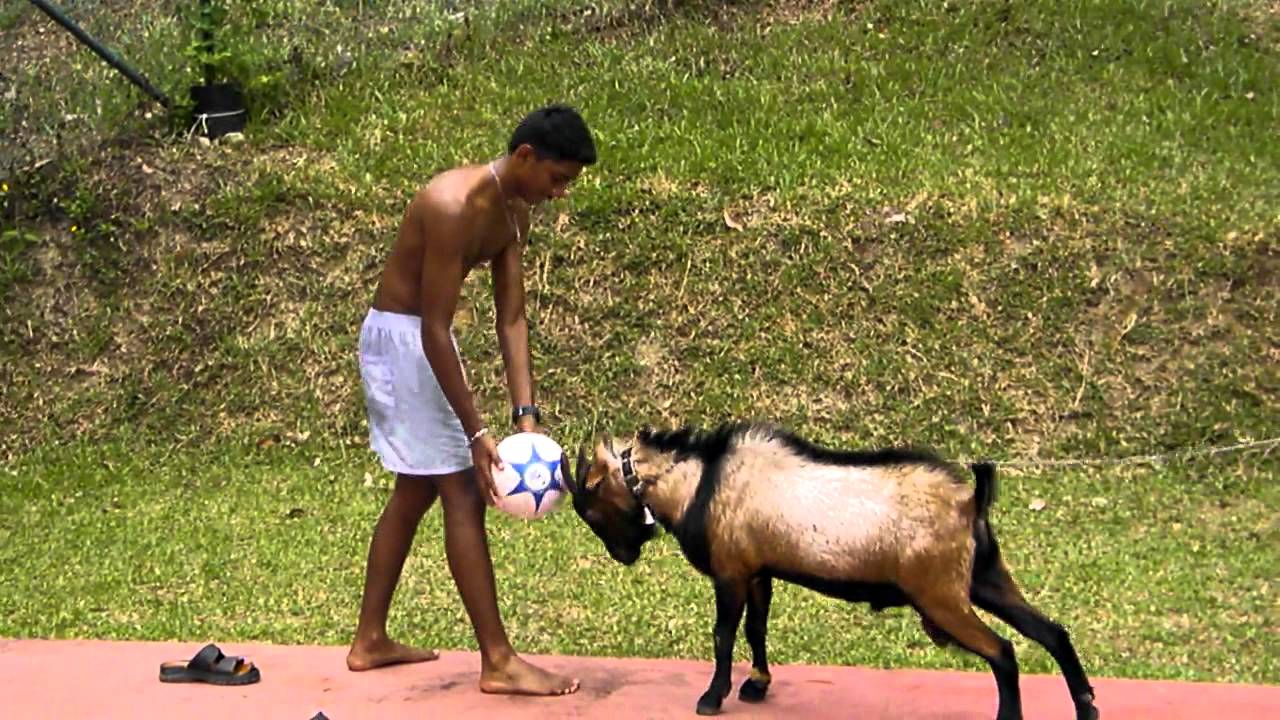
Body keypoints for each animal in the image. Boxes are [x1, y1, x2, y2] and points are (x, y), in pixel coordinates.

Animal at [563, 422, 1099, 719]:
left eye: (589, 510)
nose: (623, 555)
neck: (700, 481)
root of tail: (971, 501)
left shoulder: (731, 571)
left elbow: (723, 634)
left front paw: (712, 698)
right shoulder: (759, 570)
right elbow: (757, 629)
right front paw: (757, 685)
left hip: (940, 592)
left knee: (1003, 651)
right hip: (985, 577)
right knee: (1052, 632)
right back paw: (1087, 706)